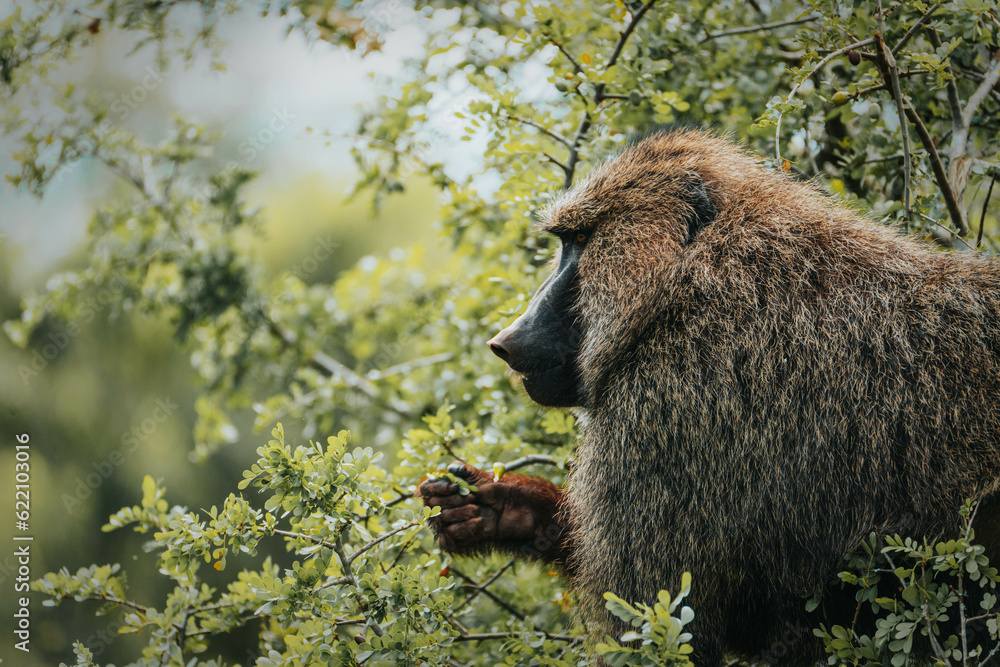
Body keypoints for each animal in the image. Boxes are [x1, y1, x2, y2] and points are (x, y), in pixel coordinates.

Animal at [418, 128, 1000, 665]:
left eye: (578, 241)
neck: (685, 282)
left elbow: (667, 633)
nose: (506, 339)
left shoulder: (660, 409)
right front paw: (502, 509)